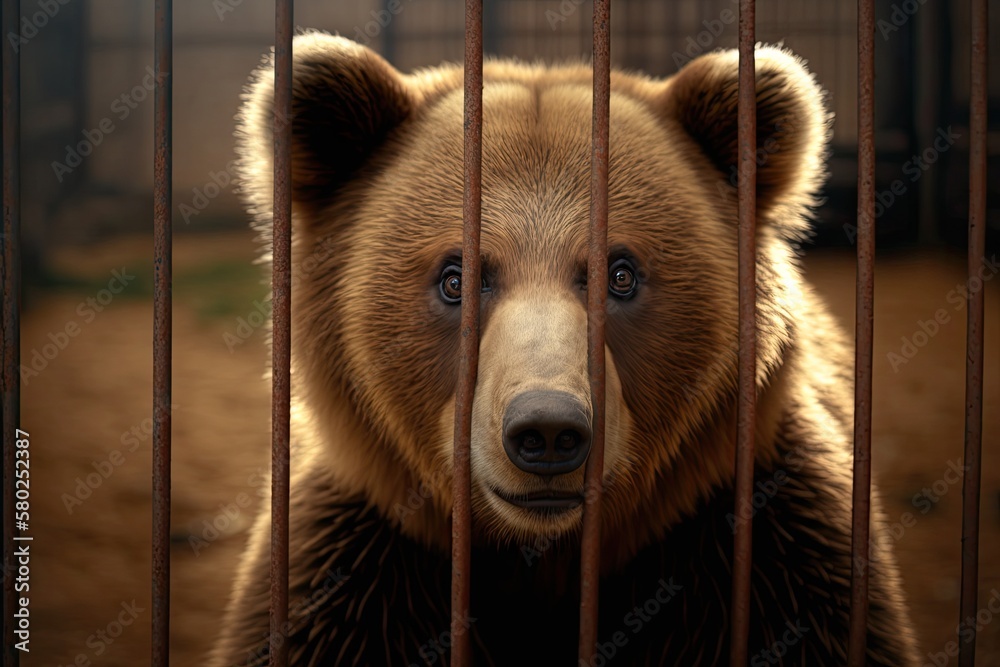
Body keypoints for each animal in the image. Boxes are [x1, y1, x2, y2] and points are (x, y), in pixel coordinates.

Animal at [209, 31, 920, 666]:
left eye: (619, 273)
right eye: (457, 277)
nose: (548, 430)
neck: (543, 562)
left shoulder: (761, 550)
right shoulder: (357, 570)